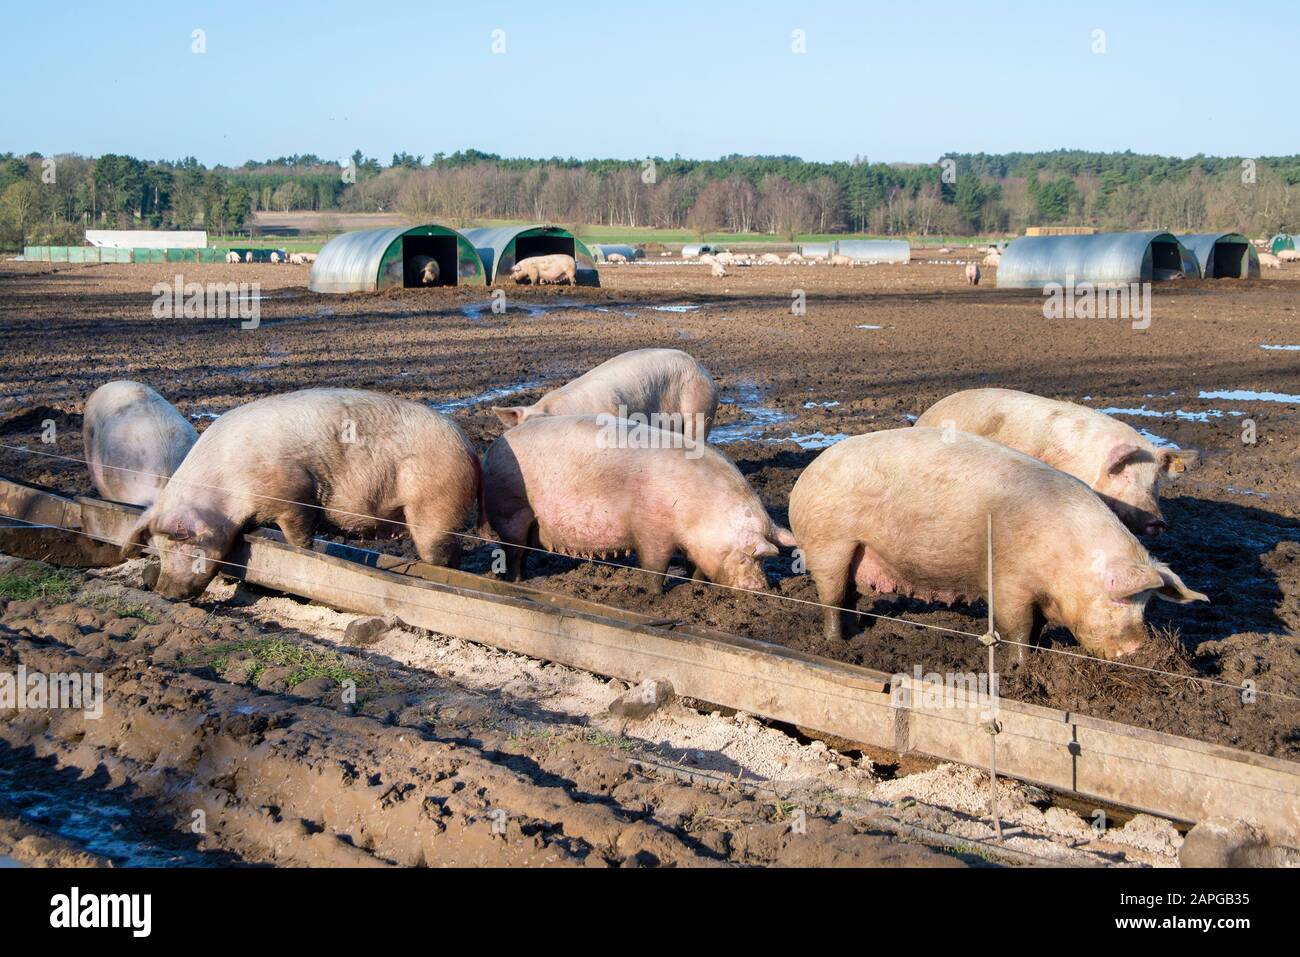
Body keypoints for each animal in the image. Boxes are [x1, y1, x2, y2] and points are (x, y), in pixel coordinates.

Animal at [120, 388, 480, 600]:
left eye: (179, 543)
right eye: (159, 549)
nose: (163, 593)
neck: (226, 483)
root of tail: (468, 445)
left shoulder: (293, 495)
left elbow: (300, 537)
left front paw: (303, 558)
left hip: (434, 505)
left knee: (442, 554)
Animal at [482, 413, 795, 591]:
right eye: (745, 557)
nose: (761, 589)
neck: (700, 514)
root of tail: (494, 447)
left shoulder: (692, 543)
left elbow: (695, 566)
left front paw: (697, 588)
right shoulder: (651, 530)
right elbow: (655, 566)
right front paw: (656, 595)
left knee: (523, 551)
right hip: (512, 511)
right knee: (513, 551)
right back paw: (517, 582)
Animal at [788, 428, 1207, 659]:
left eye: (1147, 604)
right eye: (1119, 598)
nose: (1140, 649)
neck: (1066, 560)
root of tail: (806, 476)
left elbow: (1036, 631)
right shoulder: (1008, 582)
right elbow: (1018, 628)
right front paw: (1021, 668)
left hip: (855, 550)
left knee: (850, 596)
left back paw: (858, 633)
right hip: (829, 544)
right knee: (832, 599)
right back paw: (837, 644)